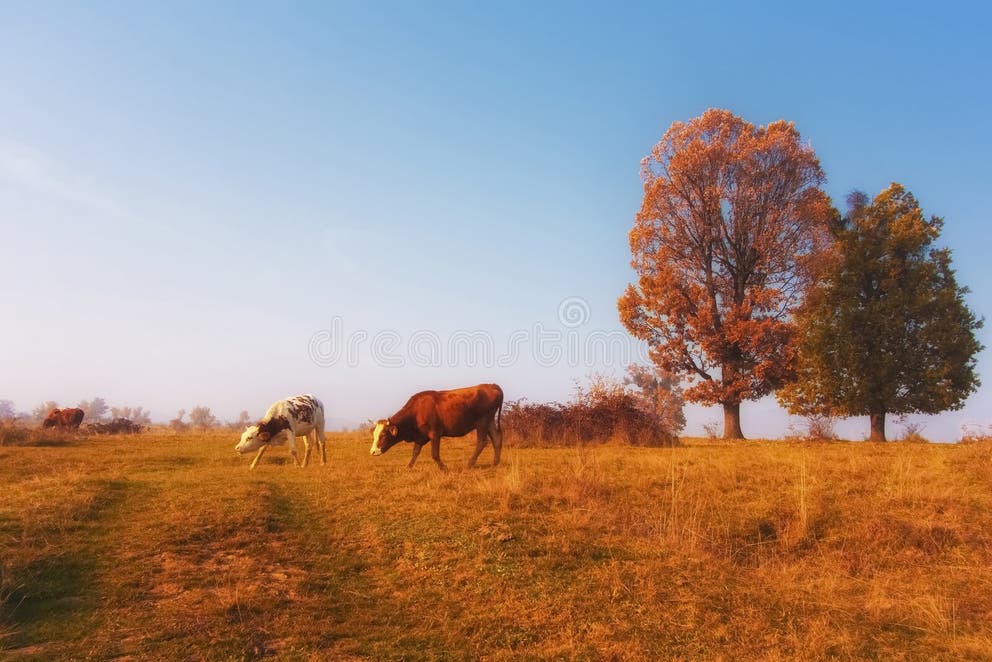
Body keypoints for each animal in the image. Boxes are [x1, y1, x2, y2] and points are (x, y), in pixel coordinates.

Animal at [369, 383, 503, 471]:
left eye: (383, 435)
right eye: (374, 435)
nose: (372, 451)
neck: (417, 411)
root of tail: (491, 385)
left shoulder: (435, 433)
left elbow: (434, 454)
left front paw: (444, 468)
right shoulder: (420, 436)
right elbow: (415, 452)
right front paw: (408, 467)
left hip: (482, 422)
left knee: (482, 442)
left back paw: (470, 464)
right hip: (490, 421)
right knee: (496, 439)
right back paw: (495, 464)